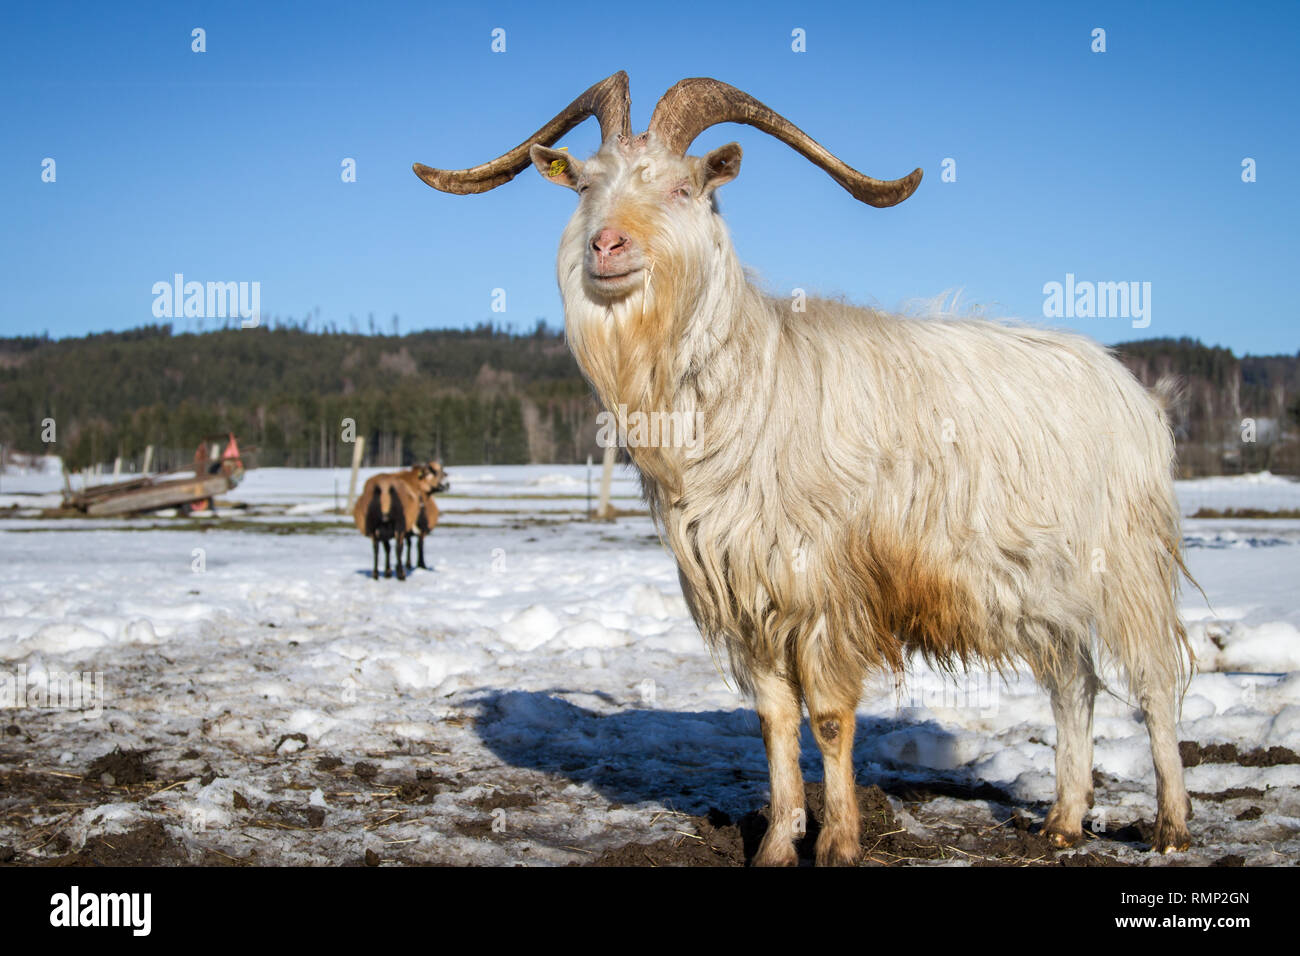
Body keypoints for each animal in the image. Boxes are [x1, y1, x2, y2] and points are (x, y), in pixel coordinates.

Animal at [415, 73, 1194, 864]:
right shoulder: (747, 590)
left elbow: (827, 715)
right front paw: (776, 844)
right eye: (586, 185)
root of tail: (1129, 388)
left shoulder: (824, 586)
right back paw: (1063, 820)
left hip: (1125, 561)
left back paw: (1170, 826)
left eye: (682, 188)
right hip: (1035, 586)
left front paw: (841, 843)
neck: (749, 378)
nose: (607, 245)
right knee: (1074, 683)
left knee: (1154, 680)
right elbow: (773, 719)